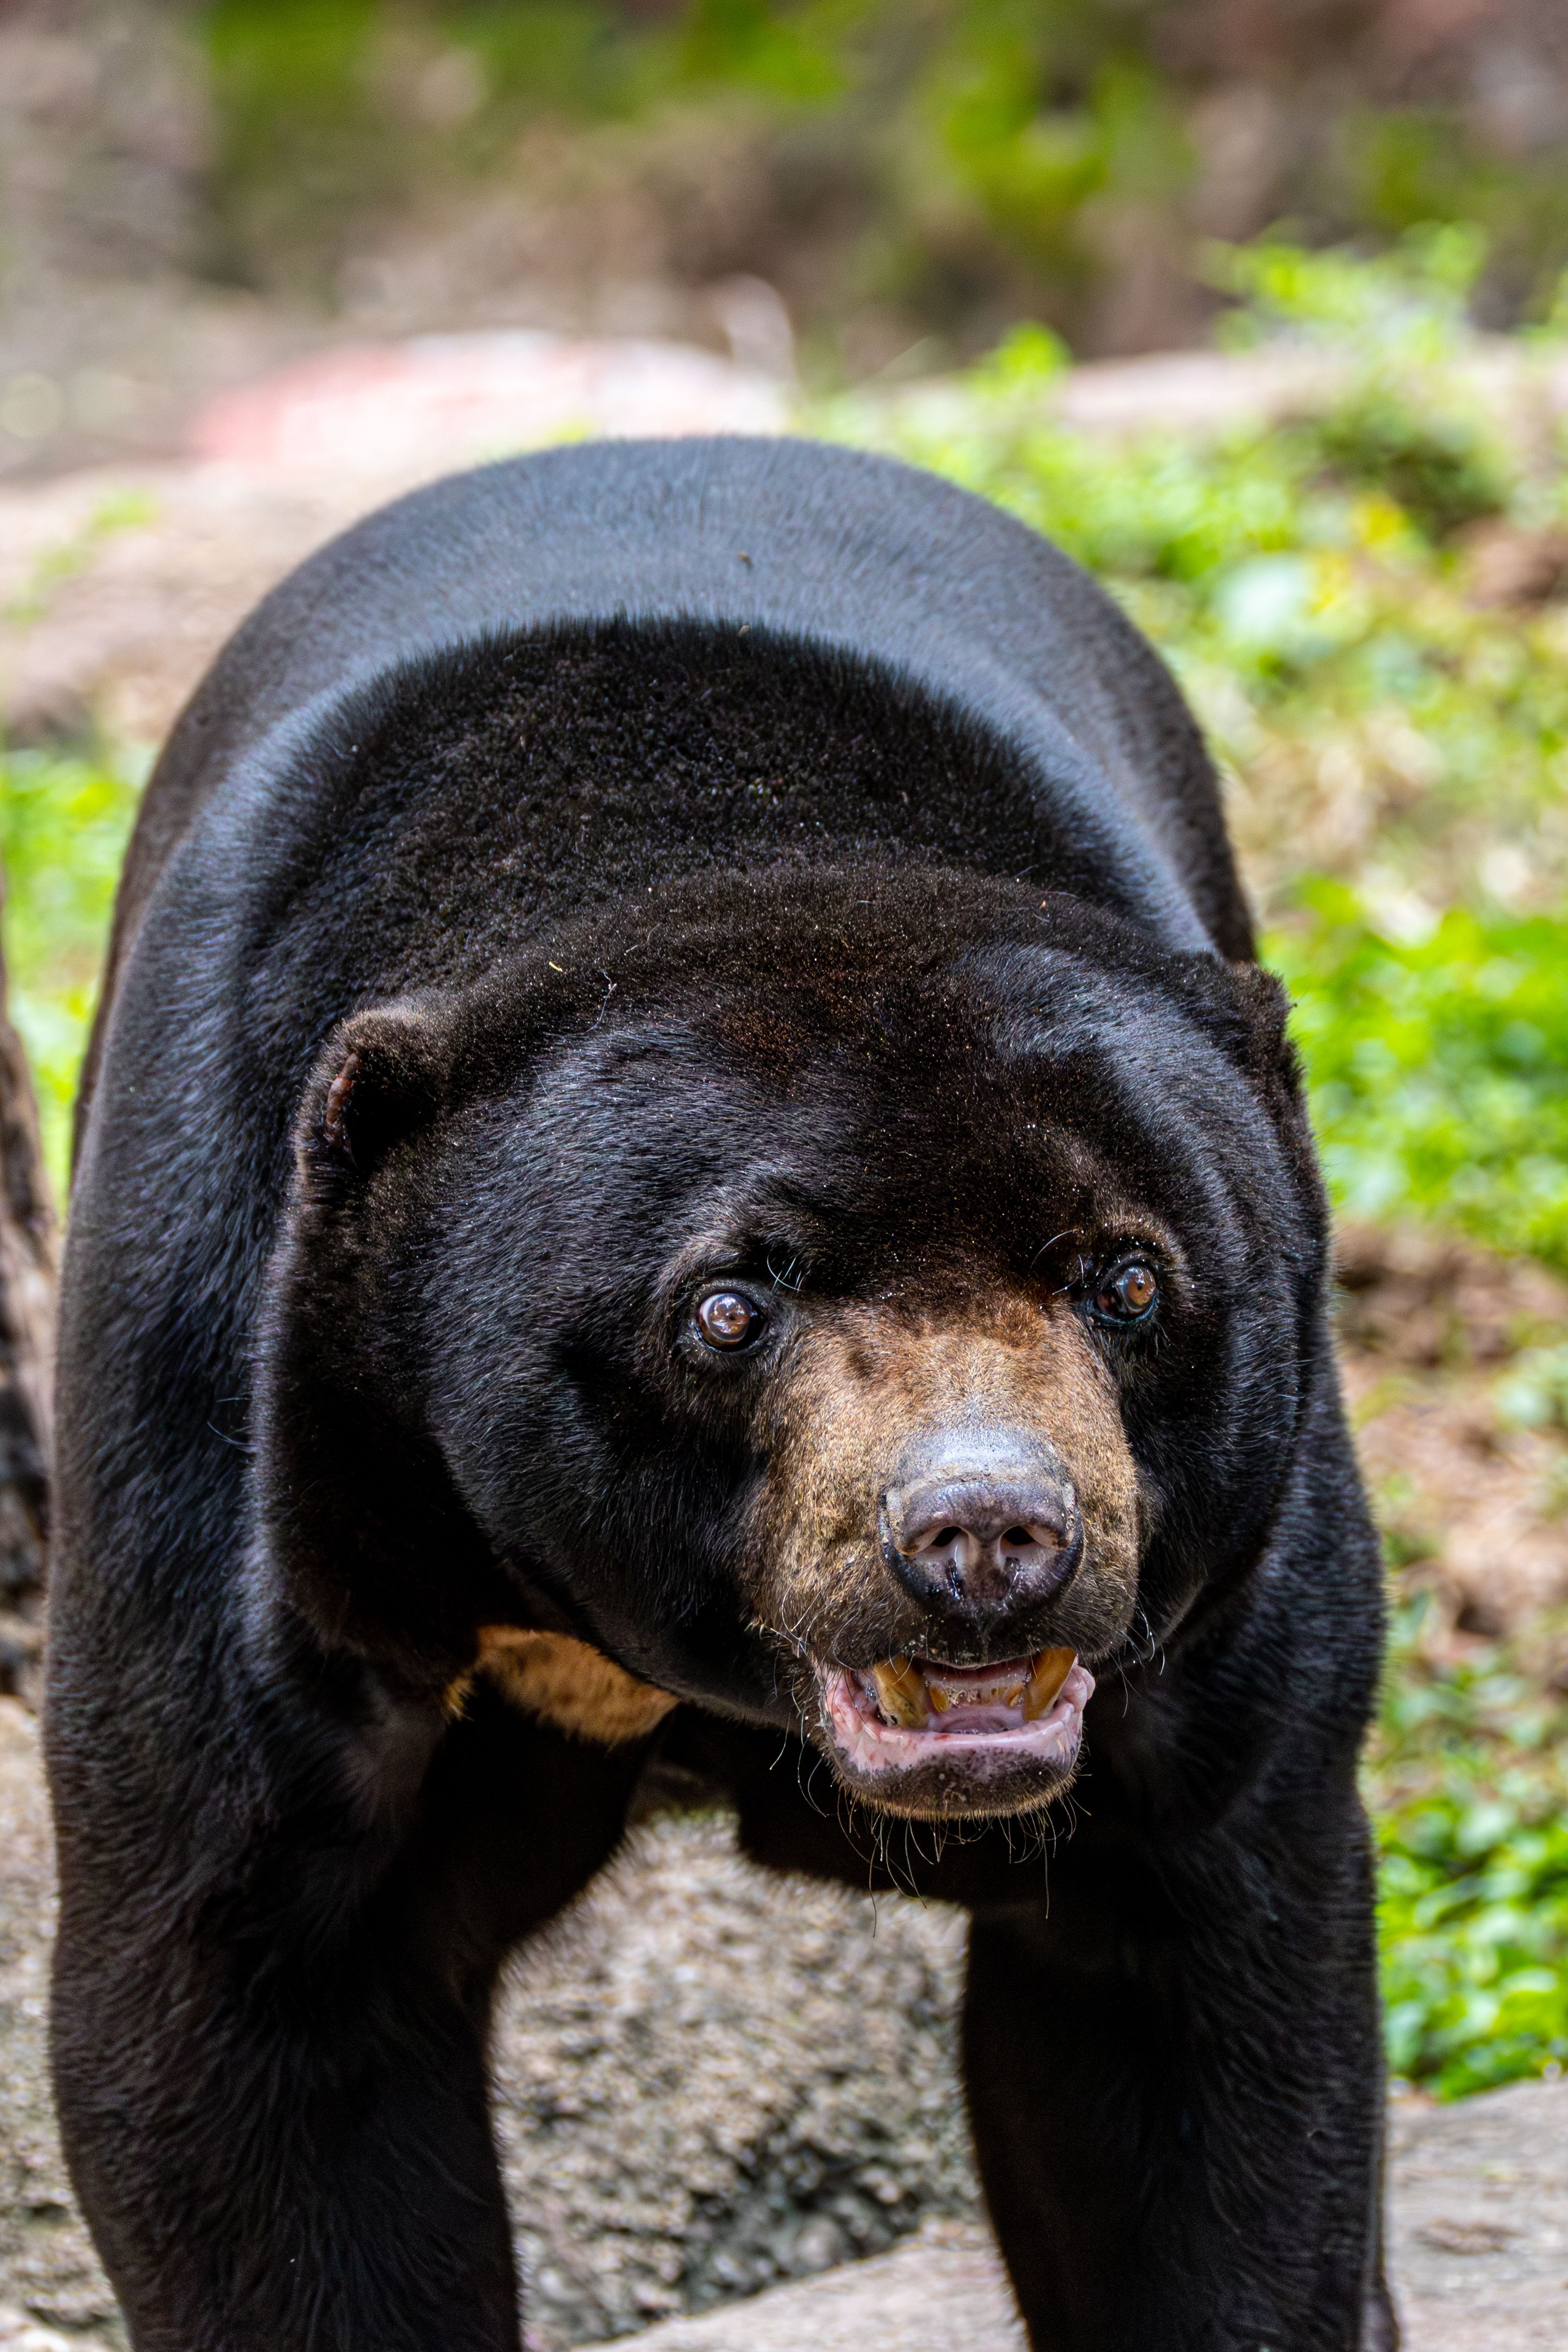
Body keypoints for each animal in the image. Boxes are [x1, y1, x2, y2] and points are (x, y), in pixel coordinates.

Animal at [45, 435, 1395, 2351]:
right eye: (727, 1305)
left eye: (1126, 1279)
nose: (990, 1534)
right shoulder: (250, 1454)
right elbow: (244, 2014)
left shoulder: (1227, 1629)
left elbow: (1205, 2040)